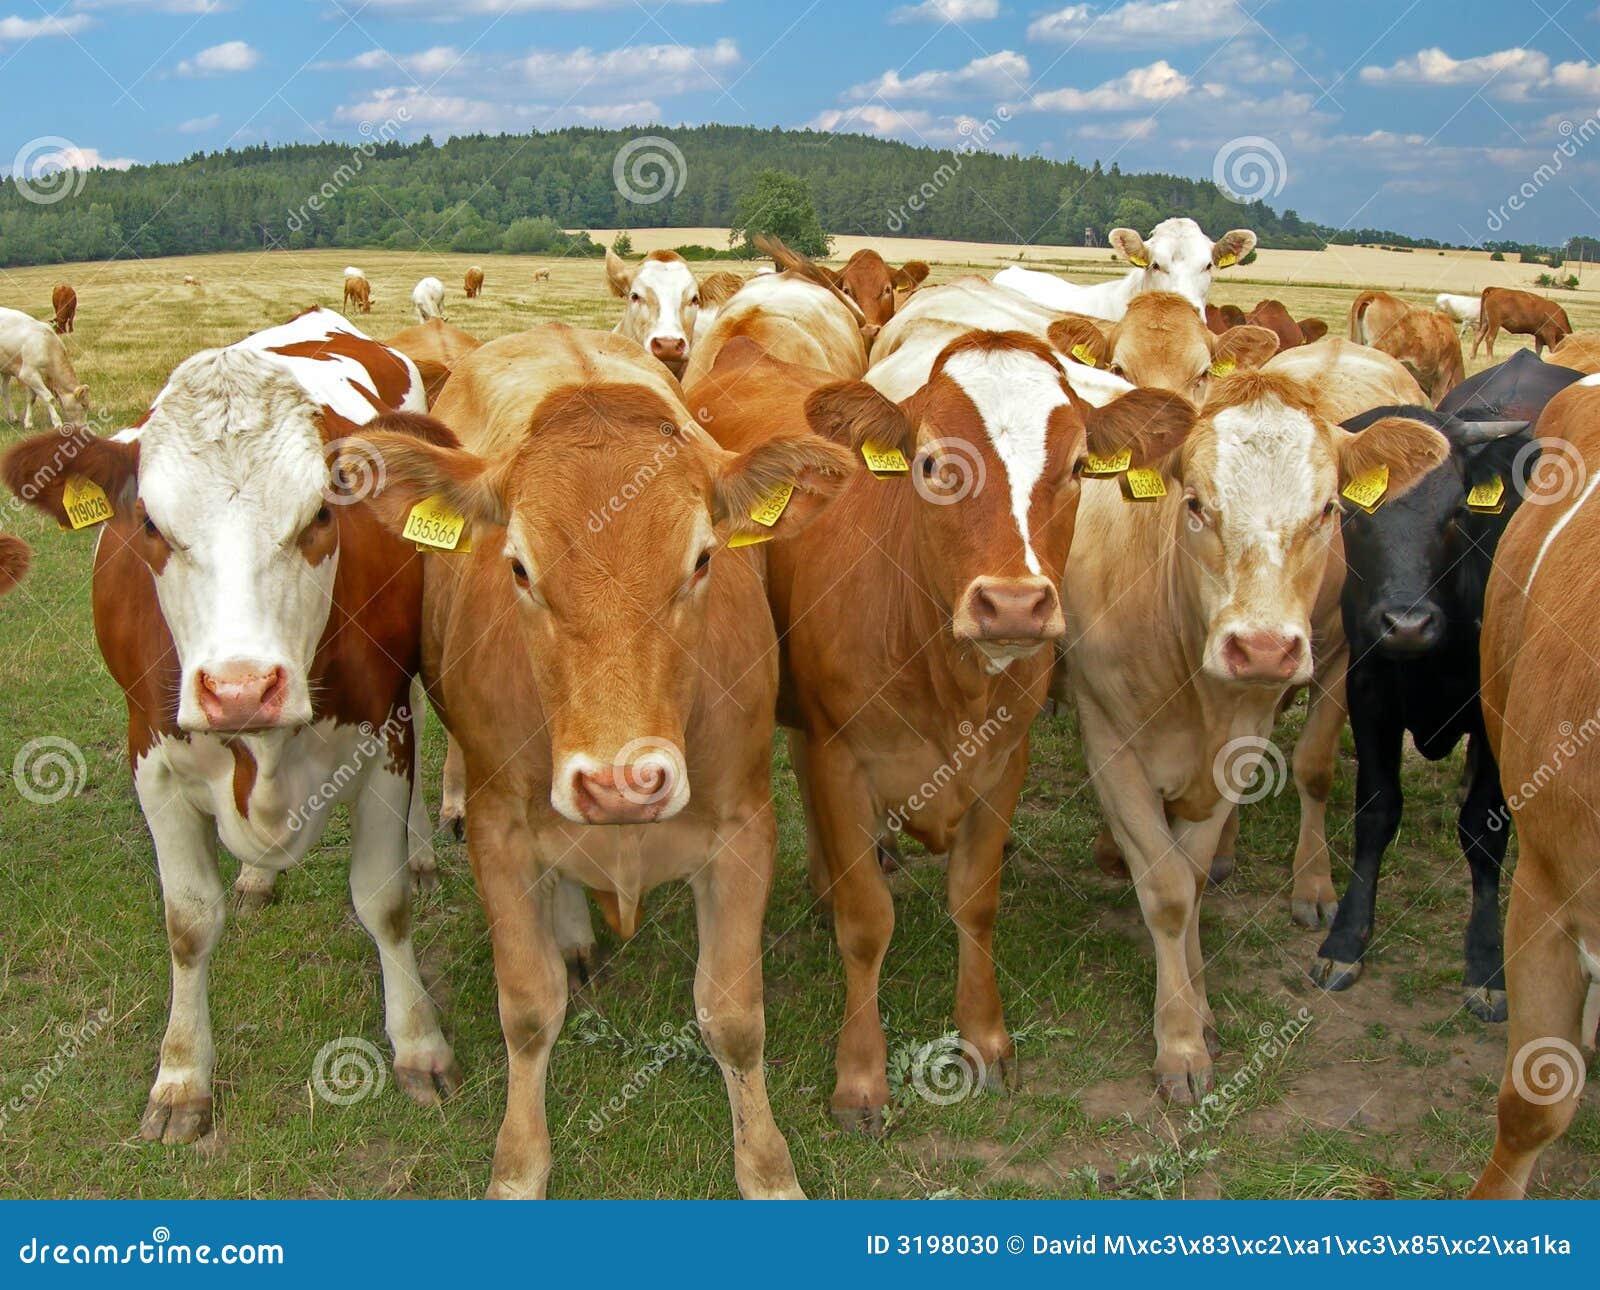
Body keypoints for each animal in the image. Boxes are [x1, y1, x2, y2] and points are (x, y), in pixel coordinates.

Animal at [0, 307, 457, 1144]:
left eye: (320, 515)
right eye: (149, 523)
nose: (241, 689)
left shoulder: (382, 736)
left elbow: (382, 902)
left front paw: (418, 1043)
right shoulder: (150, 759)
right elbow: (187, 922)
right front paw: (182, 1075)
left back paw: (418, 853)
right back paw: (256, 878)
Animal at [349, 323, 856, 1197]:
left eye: (703, 559)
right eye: (519, 567)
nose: (624, 783)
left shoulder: (745, 827)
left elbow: (734, 1015)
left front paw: (767, 1167)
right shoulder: (500, 832)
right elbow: (526, 1007)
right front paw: (519, 1166)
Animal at [1062, 369, 1447, 1101]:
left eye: (1328, 510)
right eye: (1194, 504)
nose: (1263, 648)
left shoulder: (1243, 740)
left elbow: (1189, 876)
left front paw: (1199, 1012)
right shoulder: (1108, 742)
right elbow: (1167, 891)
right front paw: (1181, 1043)